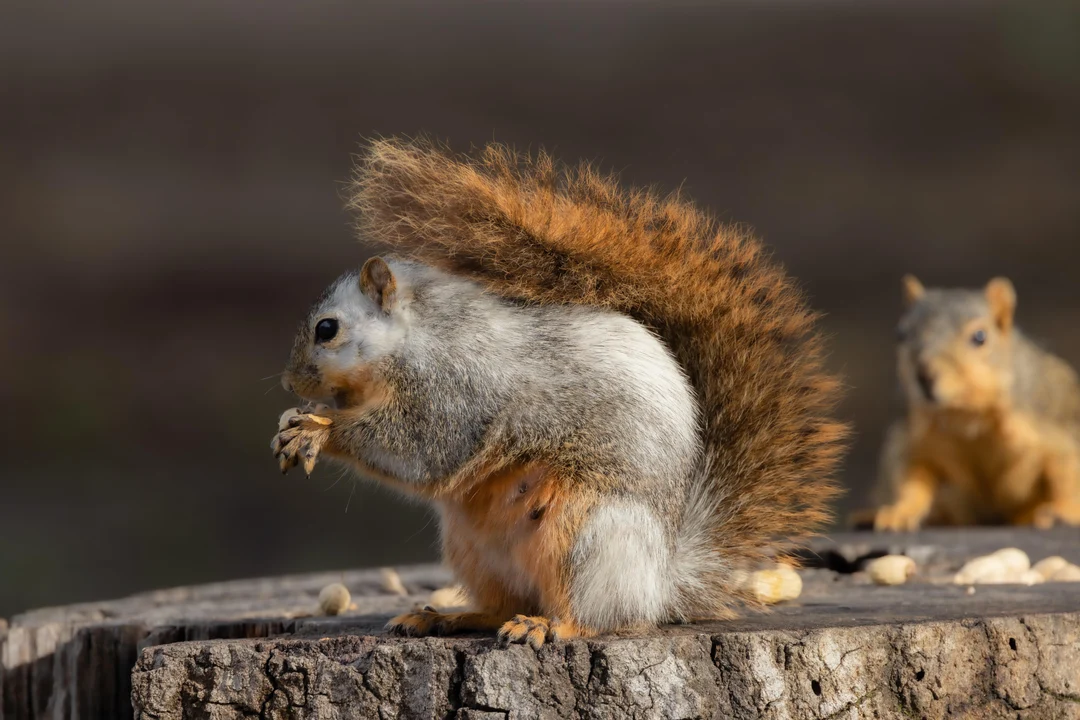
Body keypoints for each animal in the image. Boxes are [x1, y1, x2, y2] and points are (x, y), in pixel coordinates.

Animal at [271, 138, 847, 647]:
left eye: (327, 329)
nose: (290, 381)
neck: (419, 334)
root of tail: (660, 582)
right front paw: (296, 419)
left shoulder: (457, 387)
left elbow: (422, 449)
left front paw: (319, 428)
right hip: (474, 549)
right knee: (500, 604)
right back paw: (445, 616)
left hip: (588, 533)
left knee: (596, 615)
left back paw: (549, 626)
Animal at [865, 275, 1080, 531]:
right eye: (900, 334)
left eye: (980, 337)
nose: (925, 376)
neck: (965, 413)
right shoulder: (909, 438)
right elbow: (908, 477)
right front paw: (899, 512)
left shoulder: (1053, 426)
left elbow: (1066, 473)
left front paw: (1066, 510)